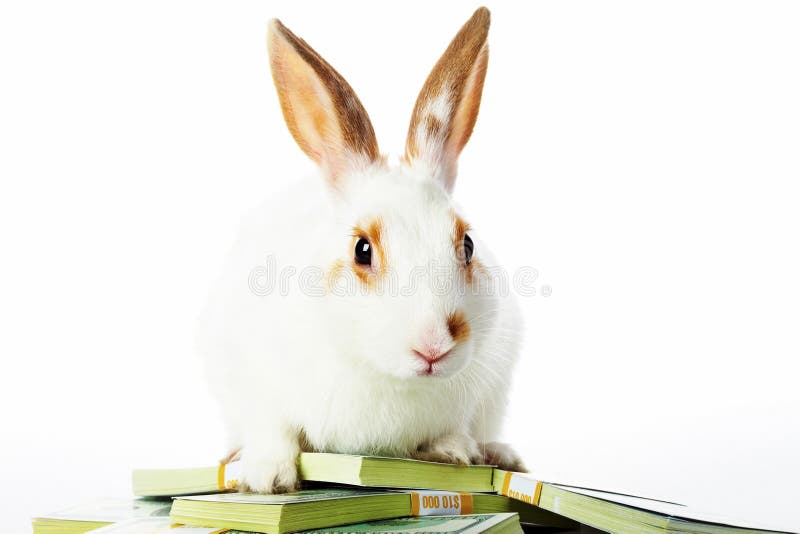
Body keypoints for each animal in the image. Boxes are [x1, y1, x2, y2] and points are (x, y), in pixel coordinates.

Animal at [197, 6, 526, 494]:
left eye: (467, 245)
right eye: (362, 249)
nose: (432, 346)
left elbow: (454, 430)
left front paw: (453, 450)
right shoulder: (248, 371)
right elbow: (272, 427)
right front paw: (267, 476)